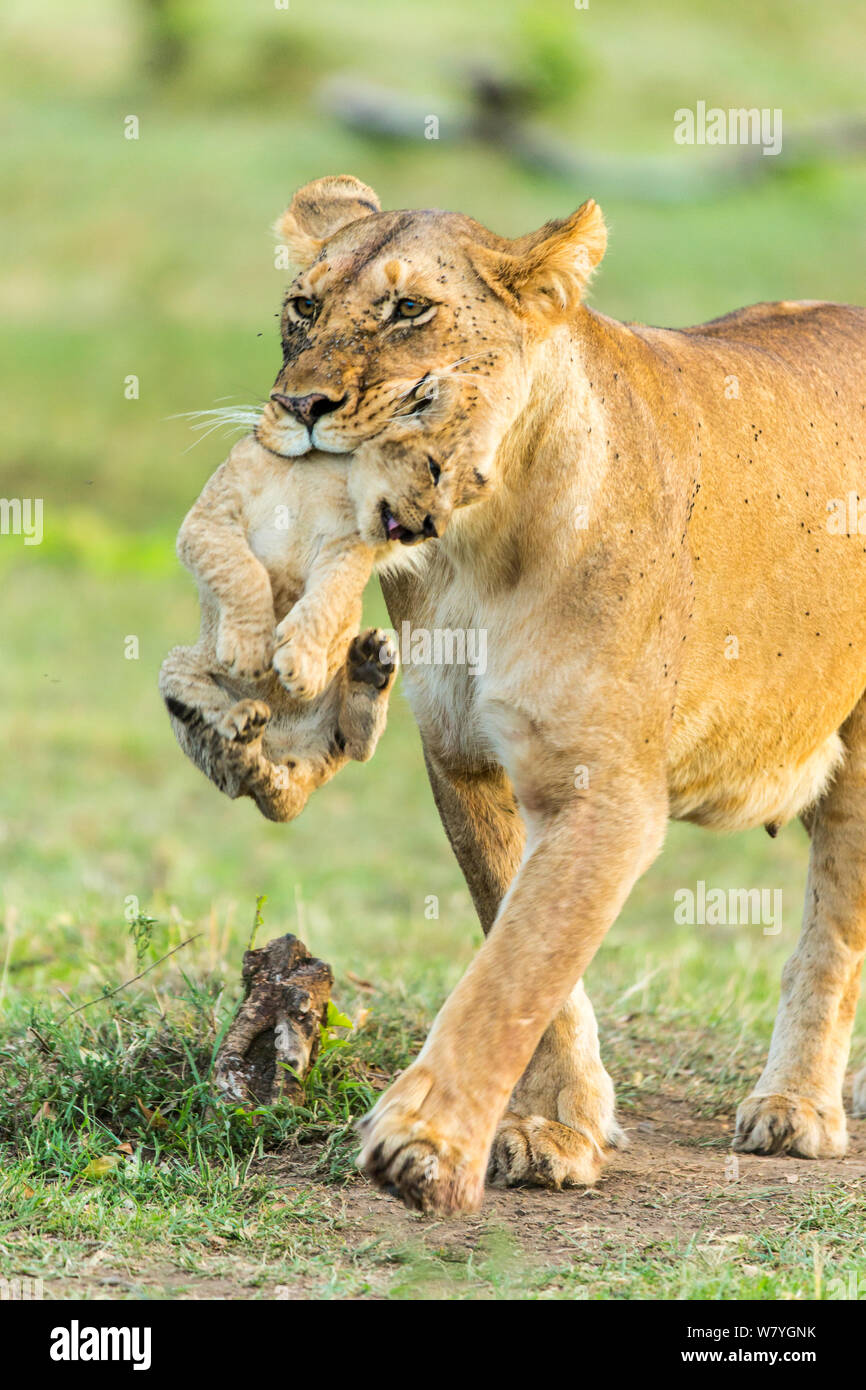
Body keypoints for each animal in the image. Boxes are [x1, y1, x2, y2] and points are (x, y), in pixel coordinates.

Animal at [246, 174, 866, 1213]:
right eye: (302, 306)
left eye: (409, 310)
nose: (299, 405)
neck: (474, 547)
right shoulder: (462, 761)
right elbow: (522, 934)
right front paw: (554, 1127)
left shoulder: (602, 792)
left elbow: (517, 963)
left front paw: (424, 1144)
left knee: (833, 928)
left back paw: (798, 1108)